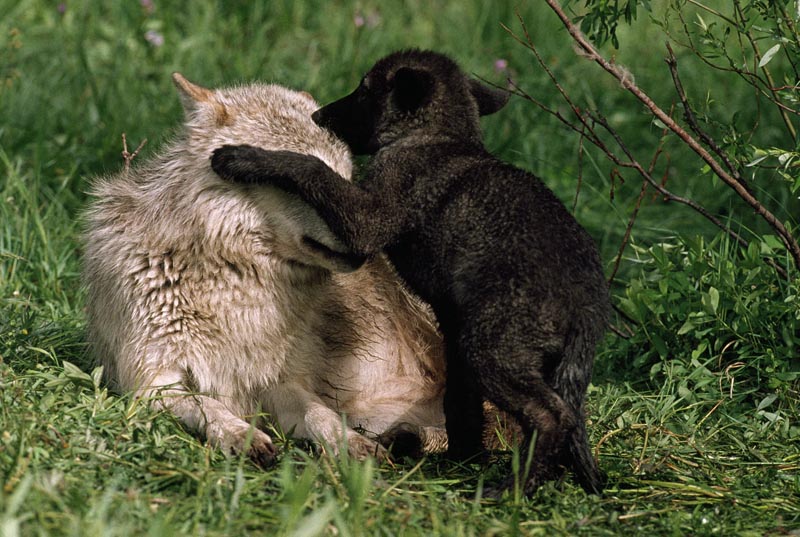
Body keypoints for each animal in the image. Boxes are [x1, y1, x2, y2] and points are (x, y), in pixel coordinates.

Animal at [83, 72, 449, 465]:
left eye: (344, 179)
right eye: (292, 179)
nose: (370, 235)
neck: (232, 279)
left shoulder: (281, 382)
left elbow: (320, 414)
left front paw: (349, 443)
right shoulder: (151, 383)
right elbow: (209, 406)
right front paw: (240, 434)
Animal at [210, 49, 610, 494]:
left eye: (365, 90)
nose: (319, 116)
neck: (438, 135)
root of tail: (587, 300)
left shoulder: (369, 220)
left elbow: (311, 169)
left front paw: (242, 157)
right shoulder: (452, 334)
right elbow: (460, 402)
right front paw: (461, 459)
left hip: (492, 347)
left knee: (552, 416)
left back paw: (515, 487)